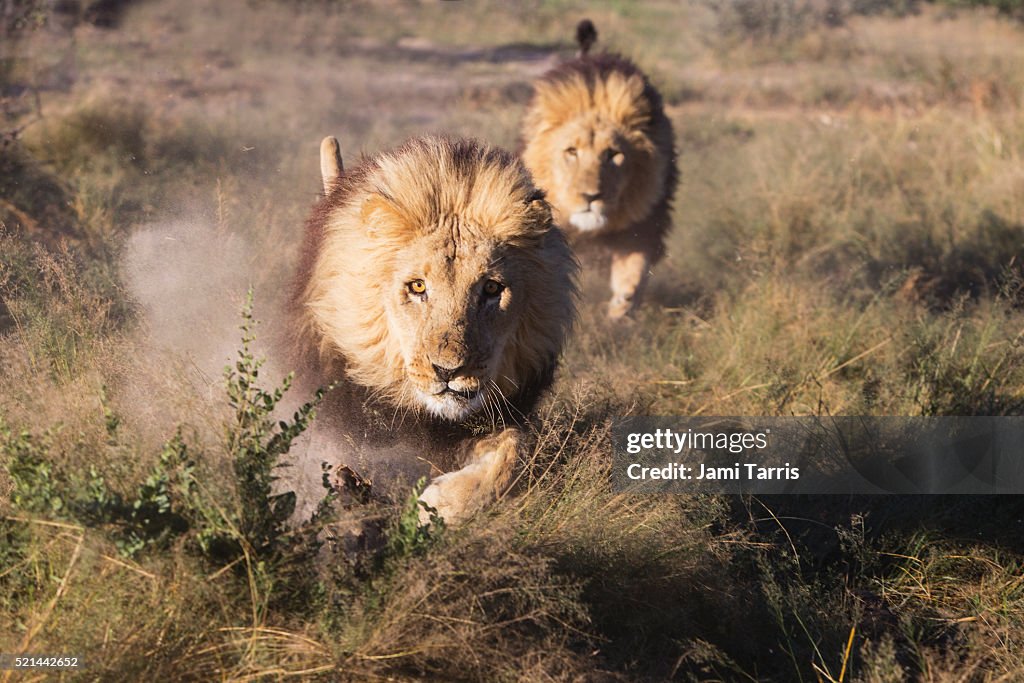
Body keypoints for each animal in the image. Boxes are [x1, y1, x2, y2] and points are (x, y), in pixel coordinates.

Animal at [521, 19, 677, 320]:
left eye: (614, 154)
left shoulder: (645, 220)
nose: (591, 197)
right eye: (571, 151)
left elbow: (634, 268)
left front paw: (622, 307)